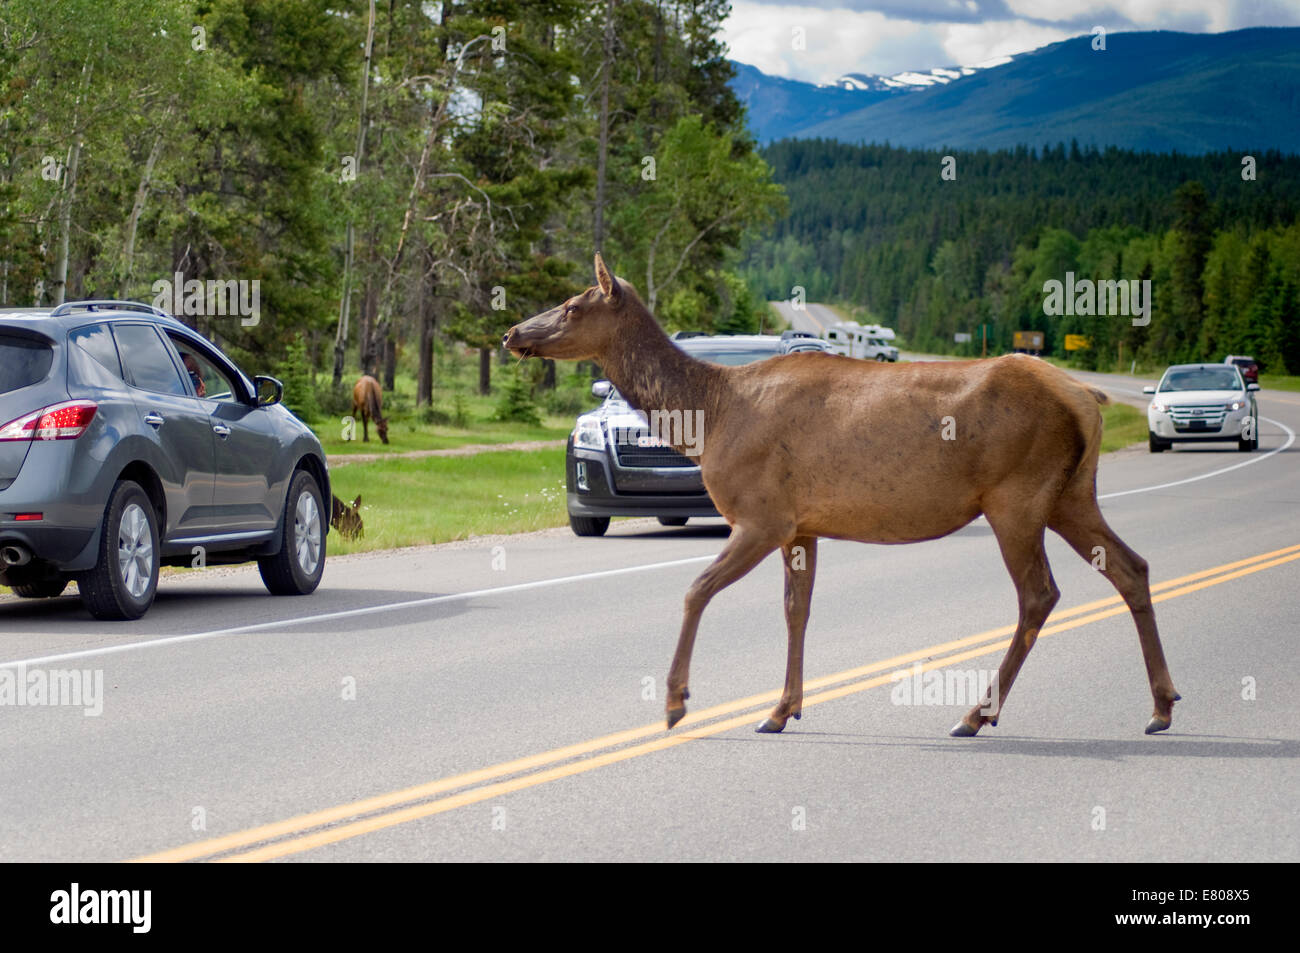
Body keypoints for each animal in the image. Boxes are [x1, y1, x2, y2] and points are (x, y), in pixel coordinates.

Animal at [505, 255, 1182, 738]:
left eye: (571, 305)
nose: (513, 331)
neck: (709, 417)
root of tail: (1086, 399)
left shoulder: (760, 515)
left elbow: (696, 590)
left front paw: (675, 702)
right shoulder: (801, 524)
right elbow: (795, 609)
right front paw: (781, 710)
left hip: (1016, 496)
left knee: (1040, 594)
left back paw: (976, 715)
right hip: (1072, 495)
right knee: (1132, 566)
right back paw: (1161, 705)